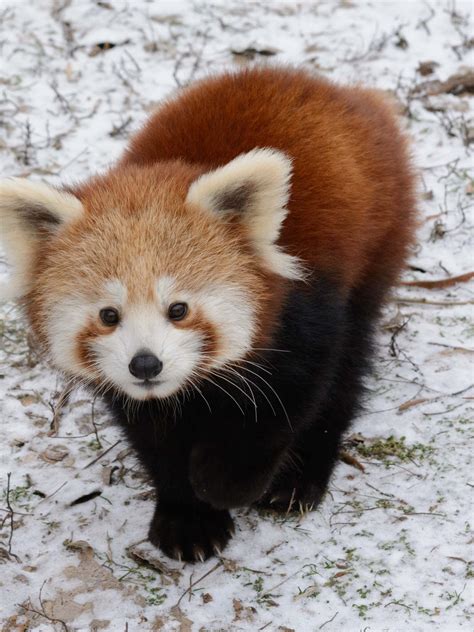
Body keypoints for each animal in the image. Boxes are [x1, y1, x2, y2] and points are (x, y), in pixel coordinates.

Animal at [0, 68, 414, 564]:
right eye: (108, 314)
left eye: (178, 309)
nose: (145, 364)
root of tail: (341, 91)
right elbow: (156, 439)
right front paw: (188, 516)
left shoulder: (305, 312)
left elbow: (289, 401)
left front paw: (226, 483)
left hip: (378, 243)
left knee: (348, 369)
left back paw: (302, 478)